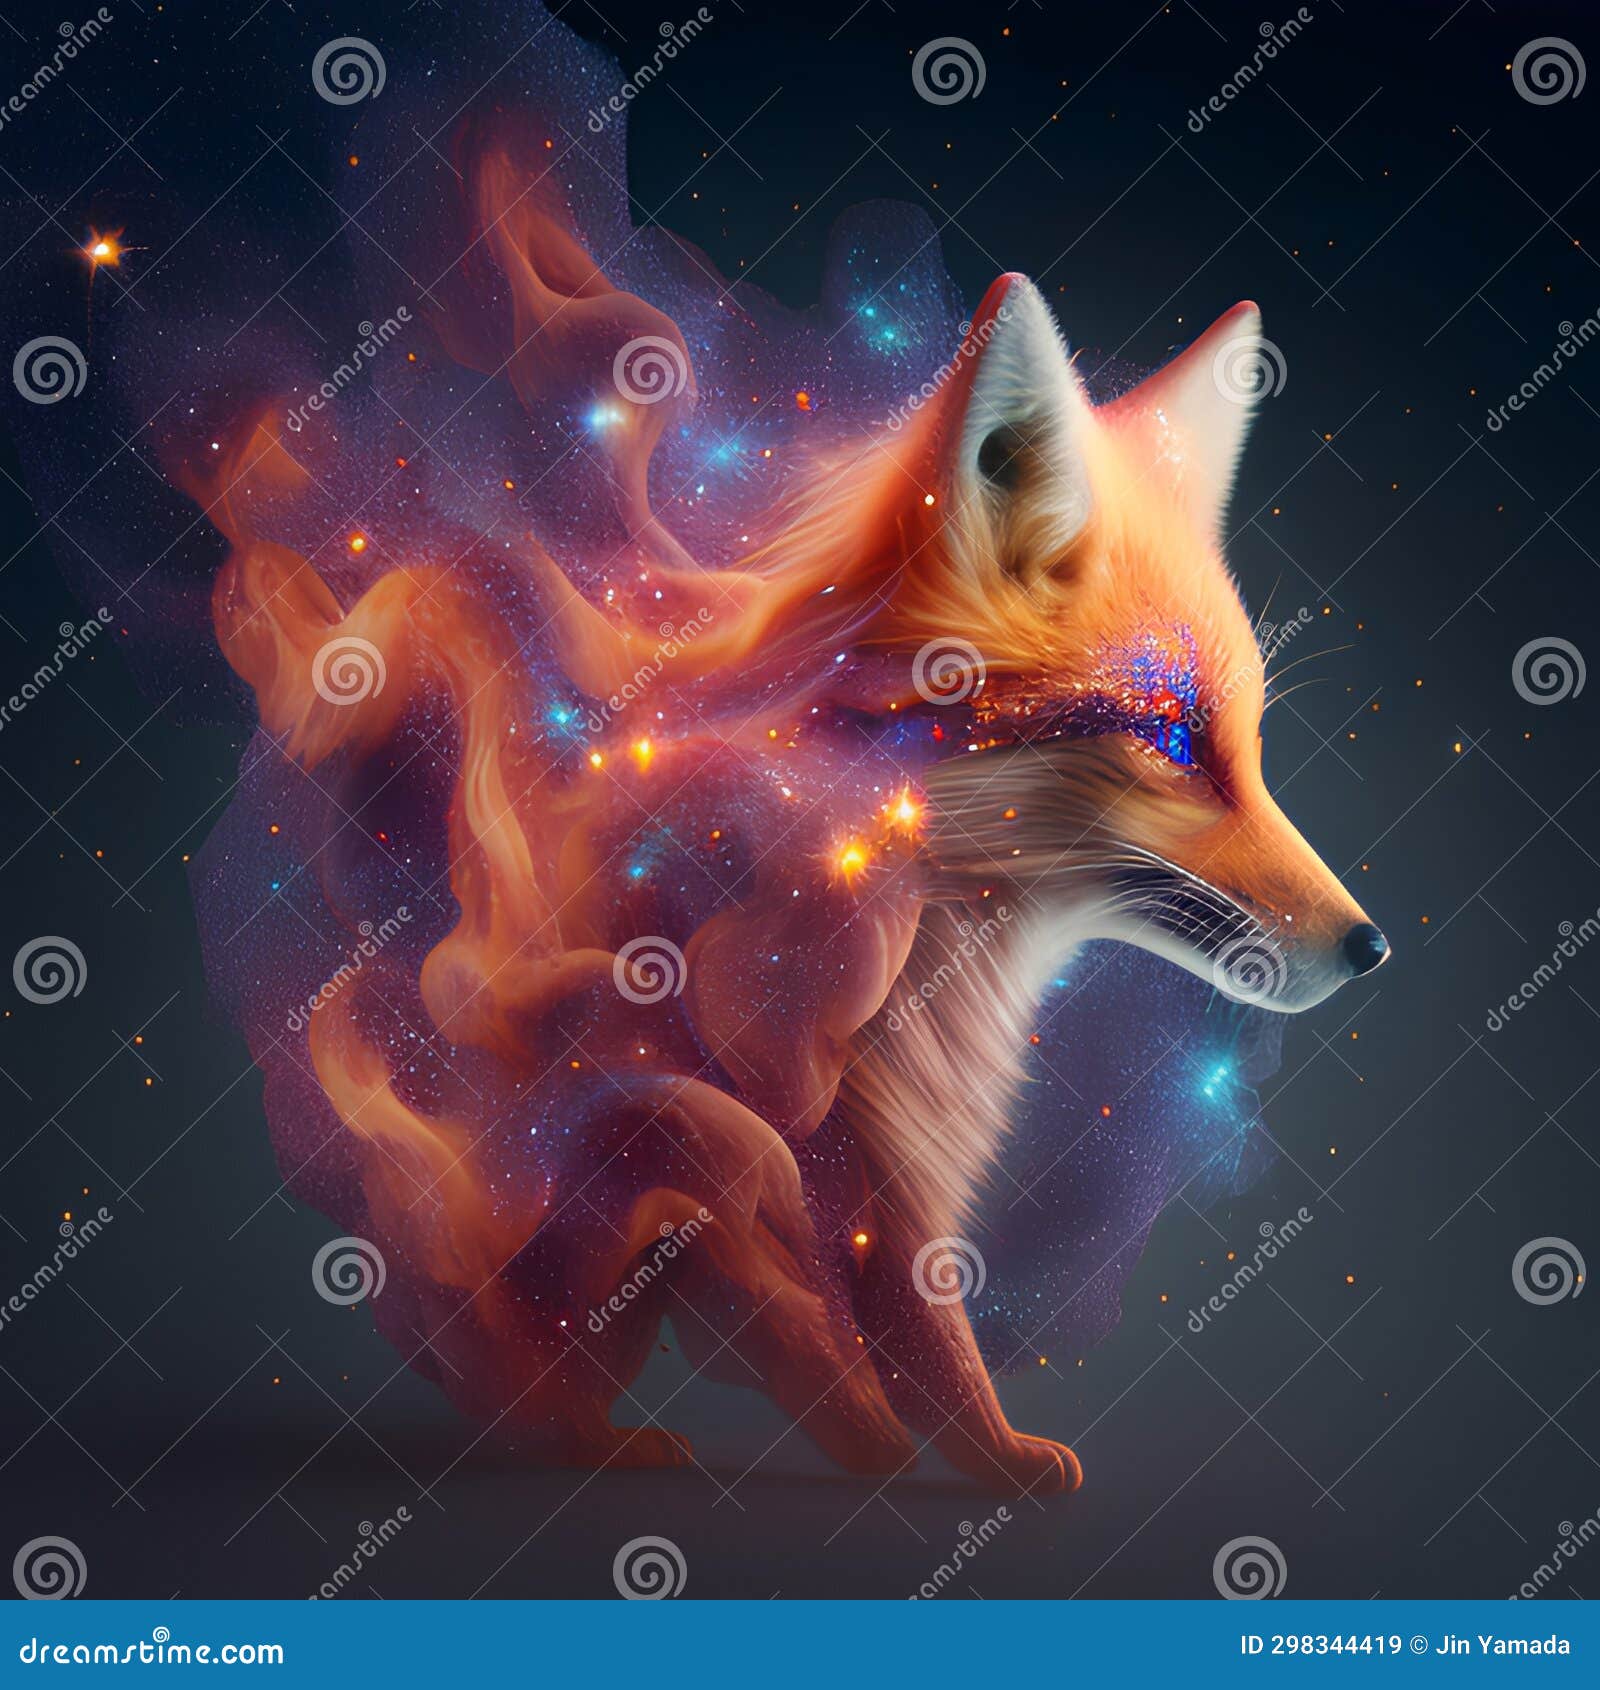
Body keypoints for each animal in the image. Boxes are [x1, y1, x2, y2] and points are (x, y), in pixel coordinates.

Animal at [202, 258, 1388, 1498]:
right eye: (1168, 737)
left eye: (1247, 743)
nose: (1373, 945)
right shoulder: (824, 1140)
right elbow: (867, 1329)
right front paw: (907, 1453)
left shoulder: (897, 1163)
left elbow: (915, 1330)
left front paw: (975, 1453)